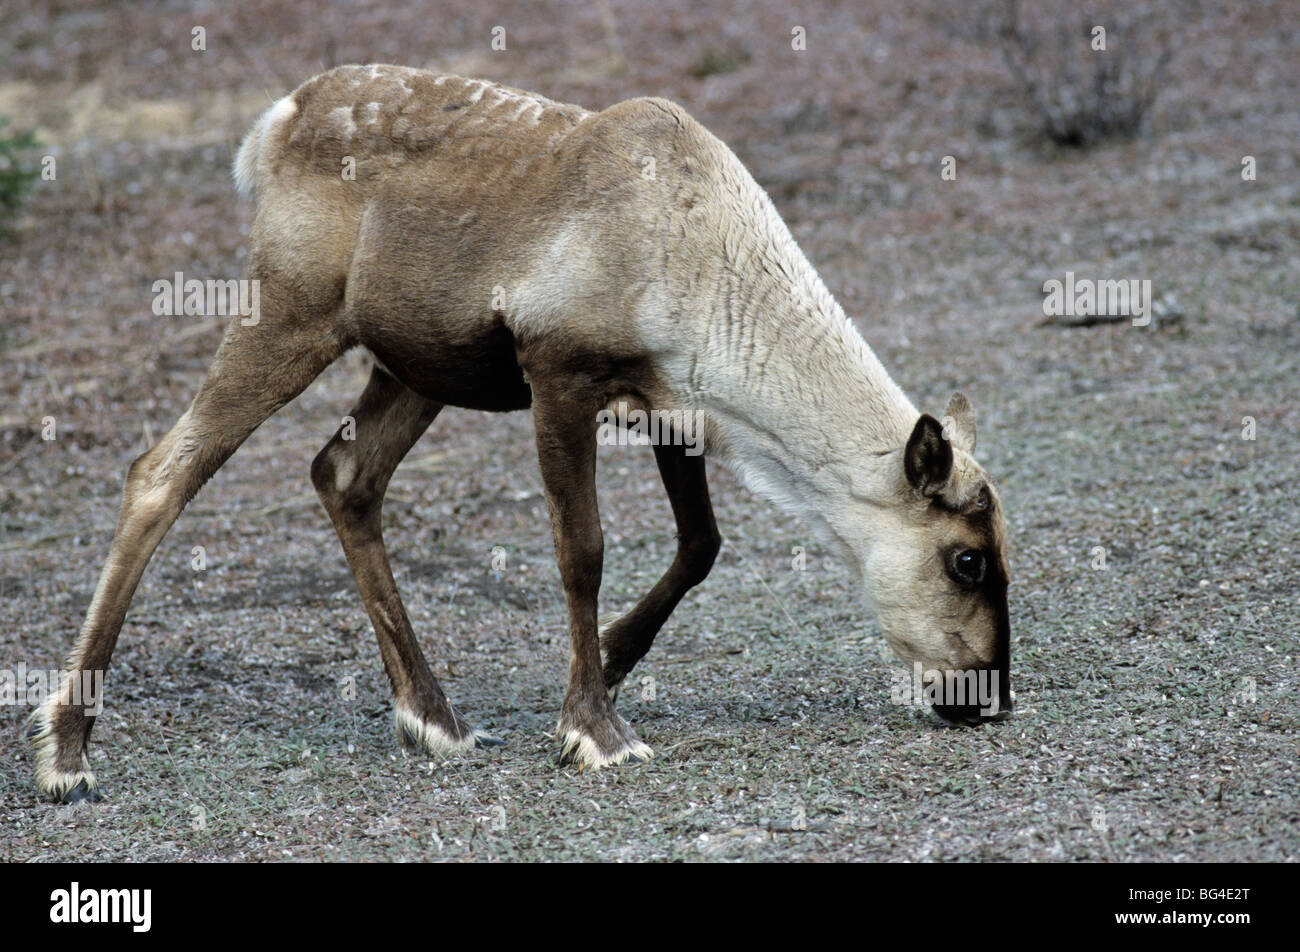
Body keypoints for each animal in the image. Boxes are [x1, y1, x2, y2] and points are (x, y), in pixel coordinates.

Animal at [28, 64, 1012, 803]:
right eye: (967, 559)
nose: (988, 693)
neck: (707, 275)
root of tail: (269, 127)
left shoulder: (669, 400)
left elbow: (701, 542)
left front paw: (610, 660)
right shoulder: (560, 373)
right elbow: (583, 549)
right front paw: (595, 728)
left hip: (414, 366)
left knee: (343, 471)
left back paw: (435, 717)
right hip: (290, 311)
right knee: (163, 469)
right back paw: (68, 750)